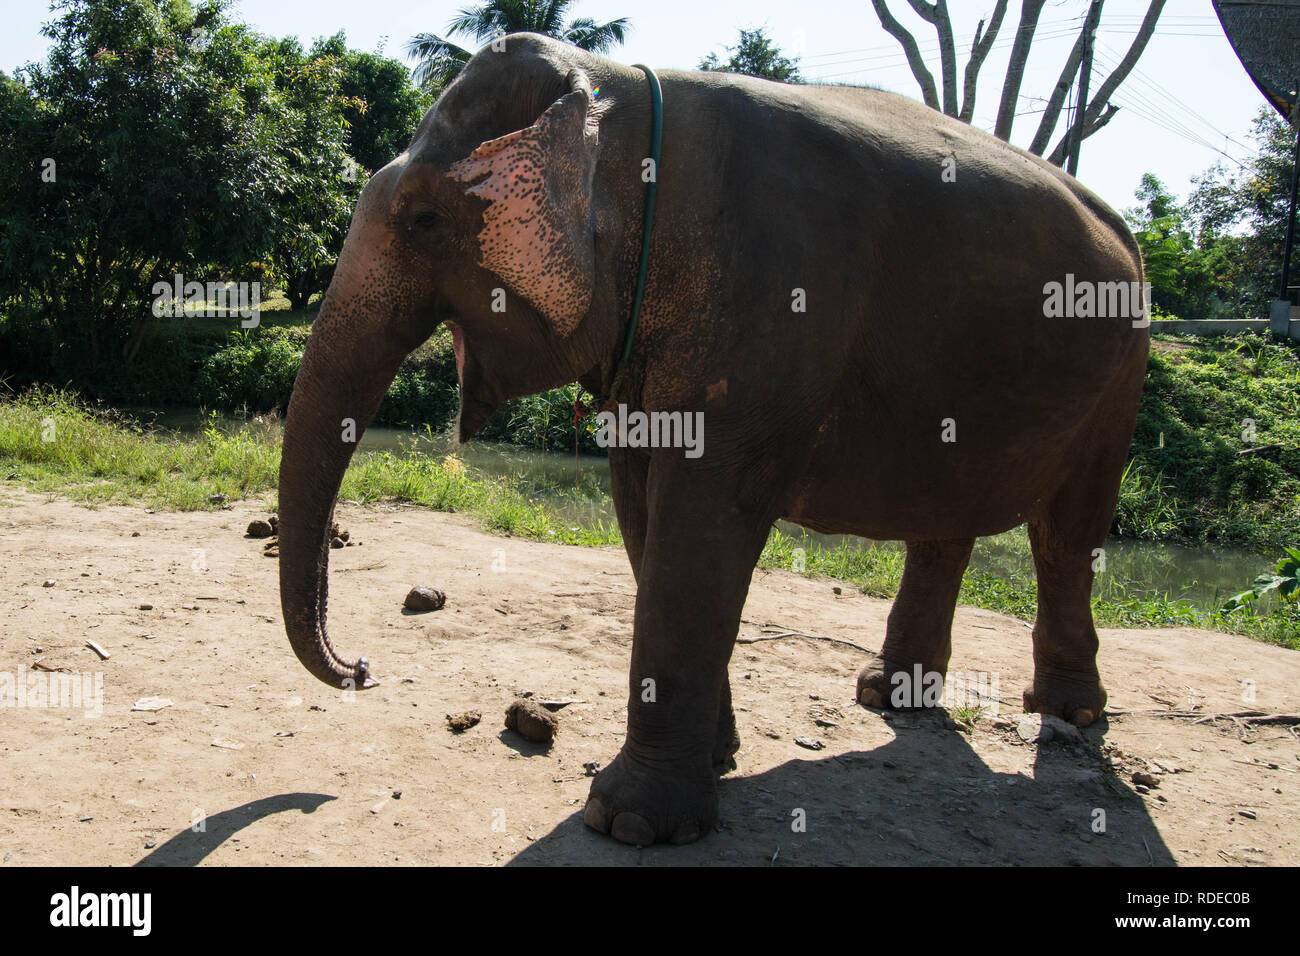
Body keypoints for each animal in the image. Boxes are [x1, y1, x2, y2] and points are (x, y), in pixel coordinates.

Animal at [278, 33, 1149, 847]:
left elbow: (703, 513)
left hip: (1121, 373)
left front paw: (628, 824)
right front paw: (718, 758)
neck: (623, 96)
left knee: (1067, 532)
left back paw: (1067, 712)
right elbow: (639, 504)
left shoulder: (772, 293)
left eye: (421, 219)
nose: (363, 667)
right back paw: (890, 695)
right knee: (946, 524)